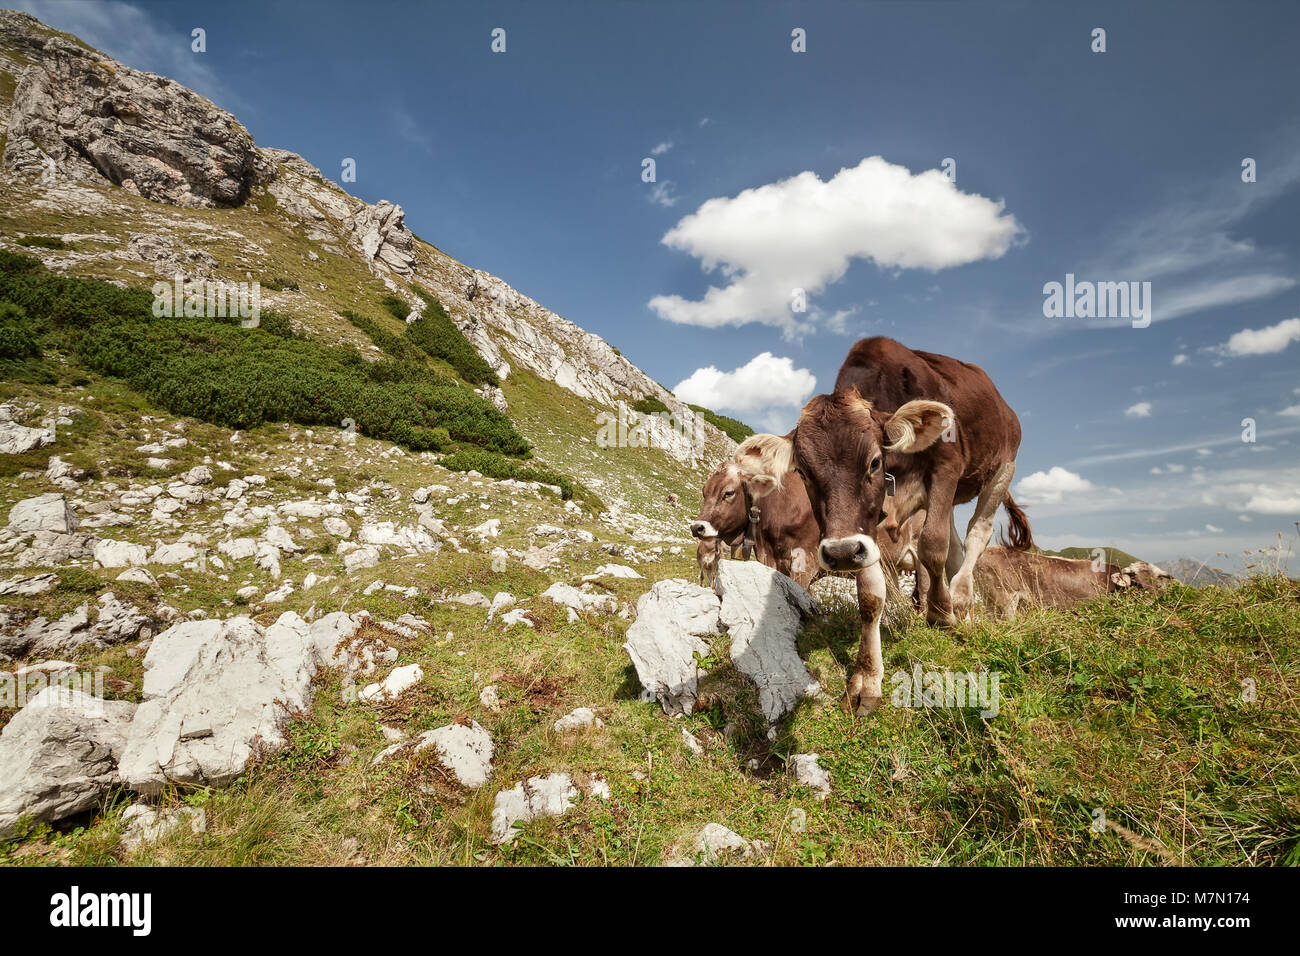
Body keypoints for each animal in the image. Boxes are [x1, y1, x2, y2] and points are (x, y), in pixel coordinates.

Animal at [733, 337, 1033, 714]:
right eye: (802, 471)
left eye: (874, 462)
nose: (840, 553)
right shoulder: (865, 529)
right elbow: (870, 594)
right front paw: (867, 678)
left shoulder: (947, 467)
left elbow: (932, 546)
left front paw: (939, 612)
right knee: (956, 545)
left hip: (1003, 467)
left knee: (977, 533)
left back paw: (960, 599)